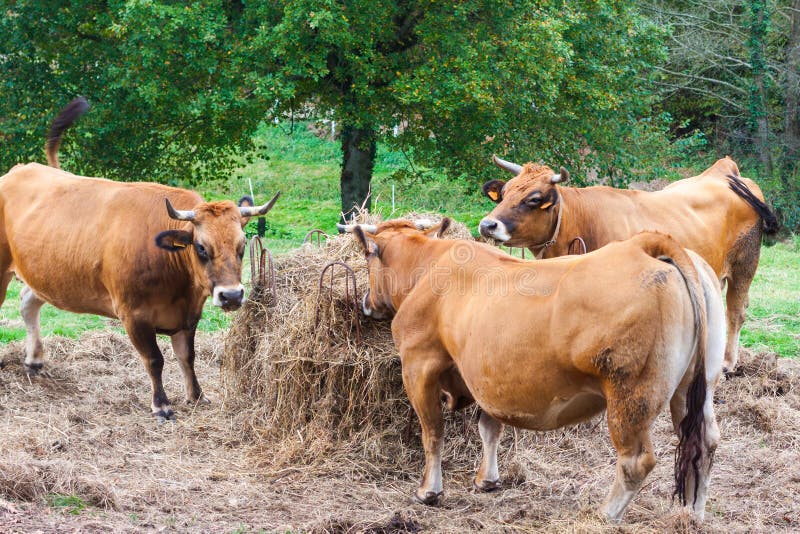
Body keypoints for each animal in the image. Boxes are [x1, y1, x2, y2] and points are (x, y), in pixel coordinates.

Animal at [0, 98, 279, 421]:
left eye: (242, 245)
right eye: (201, 247)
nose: (232, 296)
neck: (178, 284)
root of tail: (21, 169)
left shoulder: (189, 314)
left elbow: (187, 356)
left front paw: (196, 396)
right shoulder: (133, 314)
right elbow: (155, 359)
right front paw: (161, 404)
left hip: (43, 272)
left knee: (27, 302)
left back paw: (34, 360)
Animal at [338, 219, 725, 523]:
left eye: (367, 257)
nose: (365, 303)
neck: (429, 266)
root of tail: (643, 244)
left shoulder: (418, 365)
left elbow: (432, 433)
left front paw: (428, 491)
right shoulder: (485, 376)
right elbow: (489, 427)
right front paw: (488, 479)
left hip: (631, 394)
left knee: (637, 460)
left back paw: (606, 513)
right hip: (698, 385)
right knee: (704, 442)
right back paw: (692, 513)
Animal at [479, 156, 778, 372]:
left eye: (534, 198)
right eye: (504, 192)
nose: (487, 225)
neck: (581, 219)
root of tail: (724, 171)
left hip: (745, 265)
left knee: (736, 311)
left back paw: (727, 363)